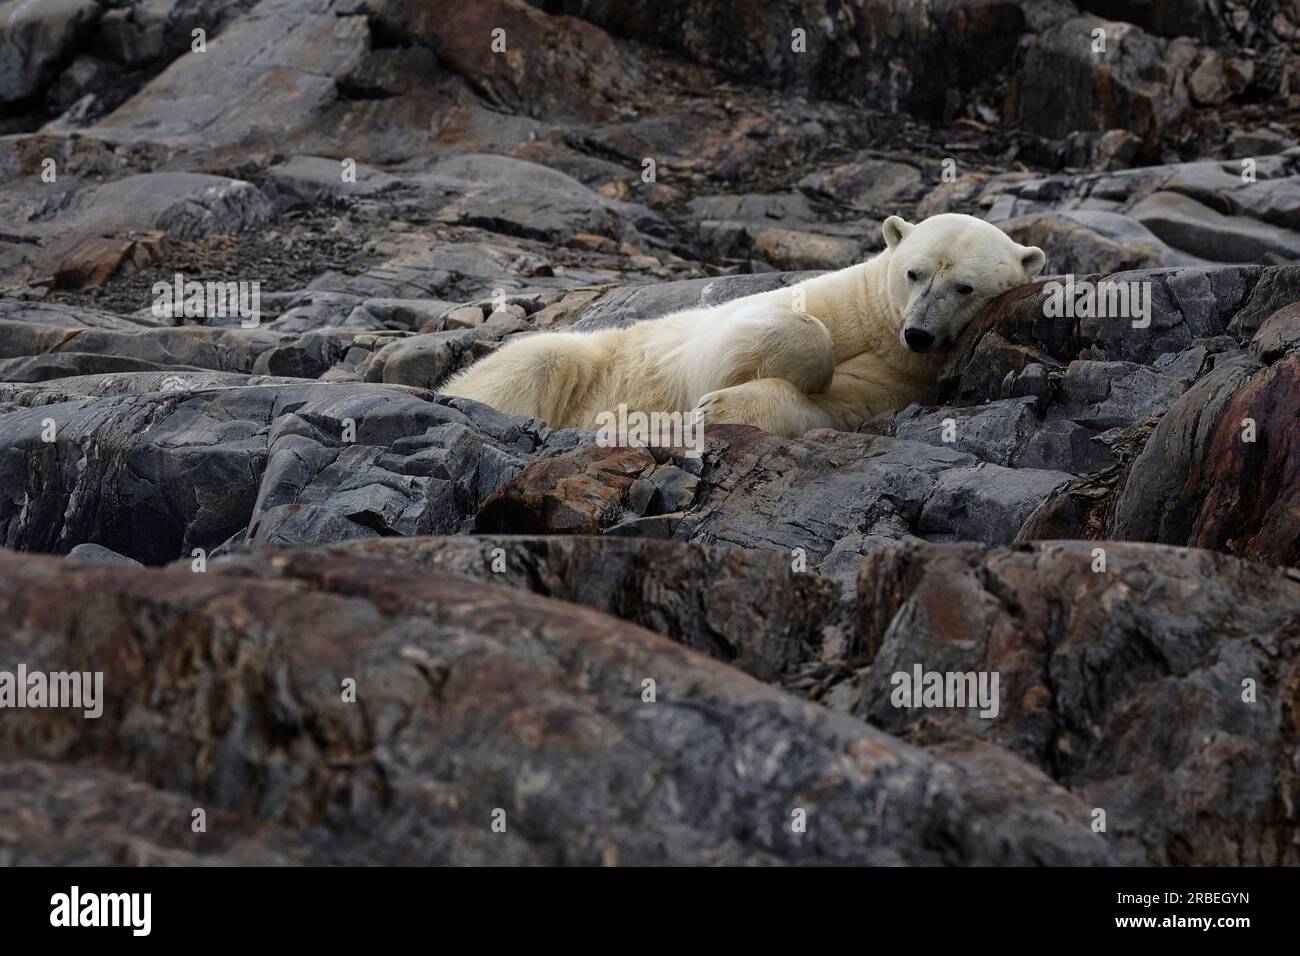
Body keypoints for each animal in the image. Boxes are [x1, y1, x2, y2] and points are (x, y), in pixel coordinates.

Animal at [439, 213, 1046, 438]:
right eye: (913, 272)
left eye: (965, 288)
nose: (917, 332)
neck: (877, 325)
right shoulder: (822, 299)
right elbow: (762, 329)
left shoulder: (900, 377)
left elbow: (834, 408)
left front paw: (723, 408)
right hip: (592, 359)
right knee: (538, 360)